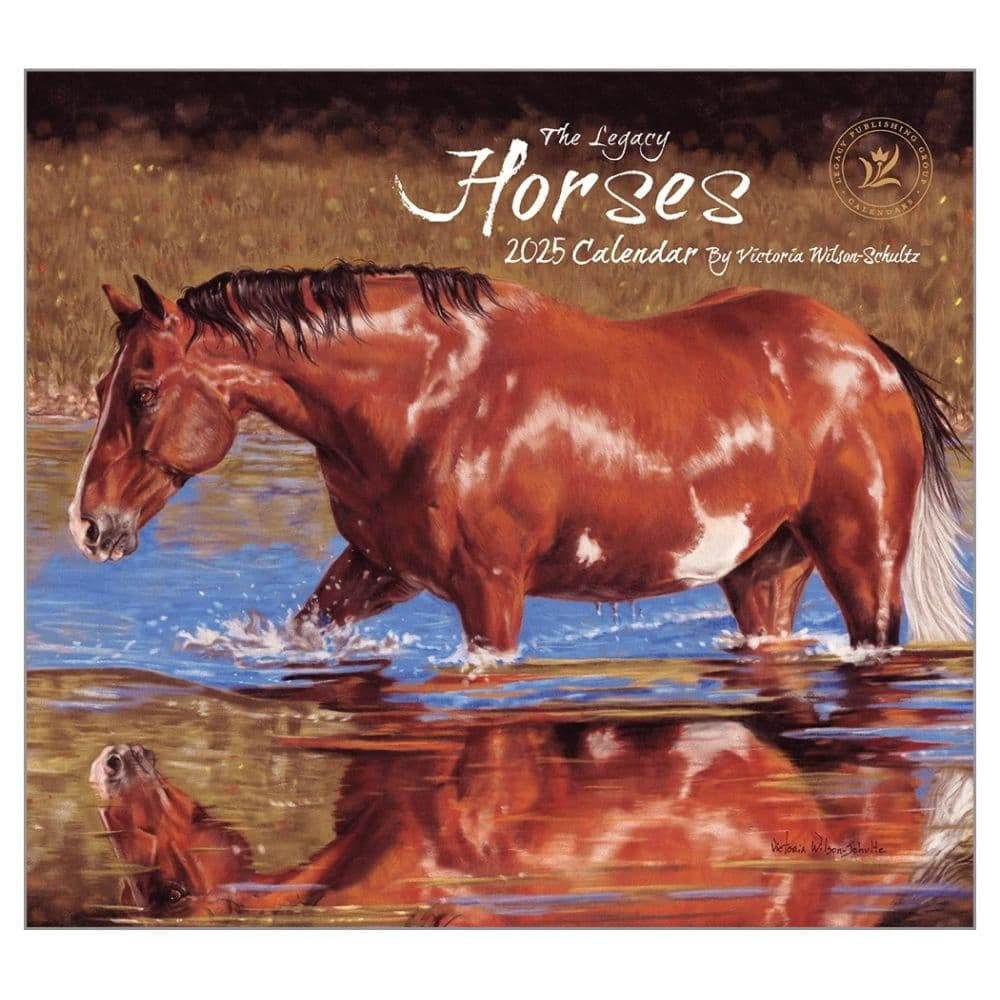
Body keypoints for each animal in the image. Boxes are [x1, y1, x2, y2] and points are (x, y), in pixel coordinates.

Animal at [68, 263, 970, 658]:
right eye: (104, 386)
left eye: (142, 392)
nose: (89, 526)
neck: (429, 393)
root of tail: (871, 354)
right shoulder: (379, 567)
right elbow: (305, 626)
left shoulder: (491, 591)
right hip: (765, 574)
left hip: (863, 565)